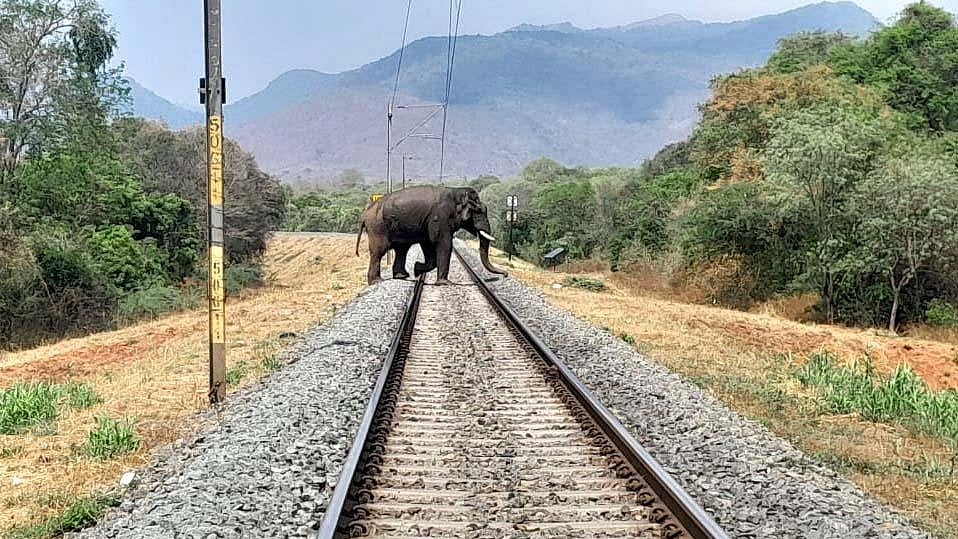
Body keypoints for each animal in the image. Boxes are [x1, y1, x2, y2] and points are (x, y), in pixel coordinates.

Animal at [354, 185, 507, 285]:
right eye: (479, 211)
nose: (505, 274)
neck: (456, 191)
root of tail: (364, 213)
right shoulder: (440, 217)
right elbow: (443, 243)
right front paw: (445, 283)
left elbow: (428, 244)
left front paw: (417, 268)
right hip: (378, 228)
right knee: (379, 251)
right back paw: (376, 281)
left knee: (401, 249)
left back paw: (402, 276)